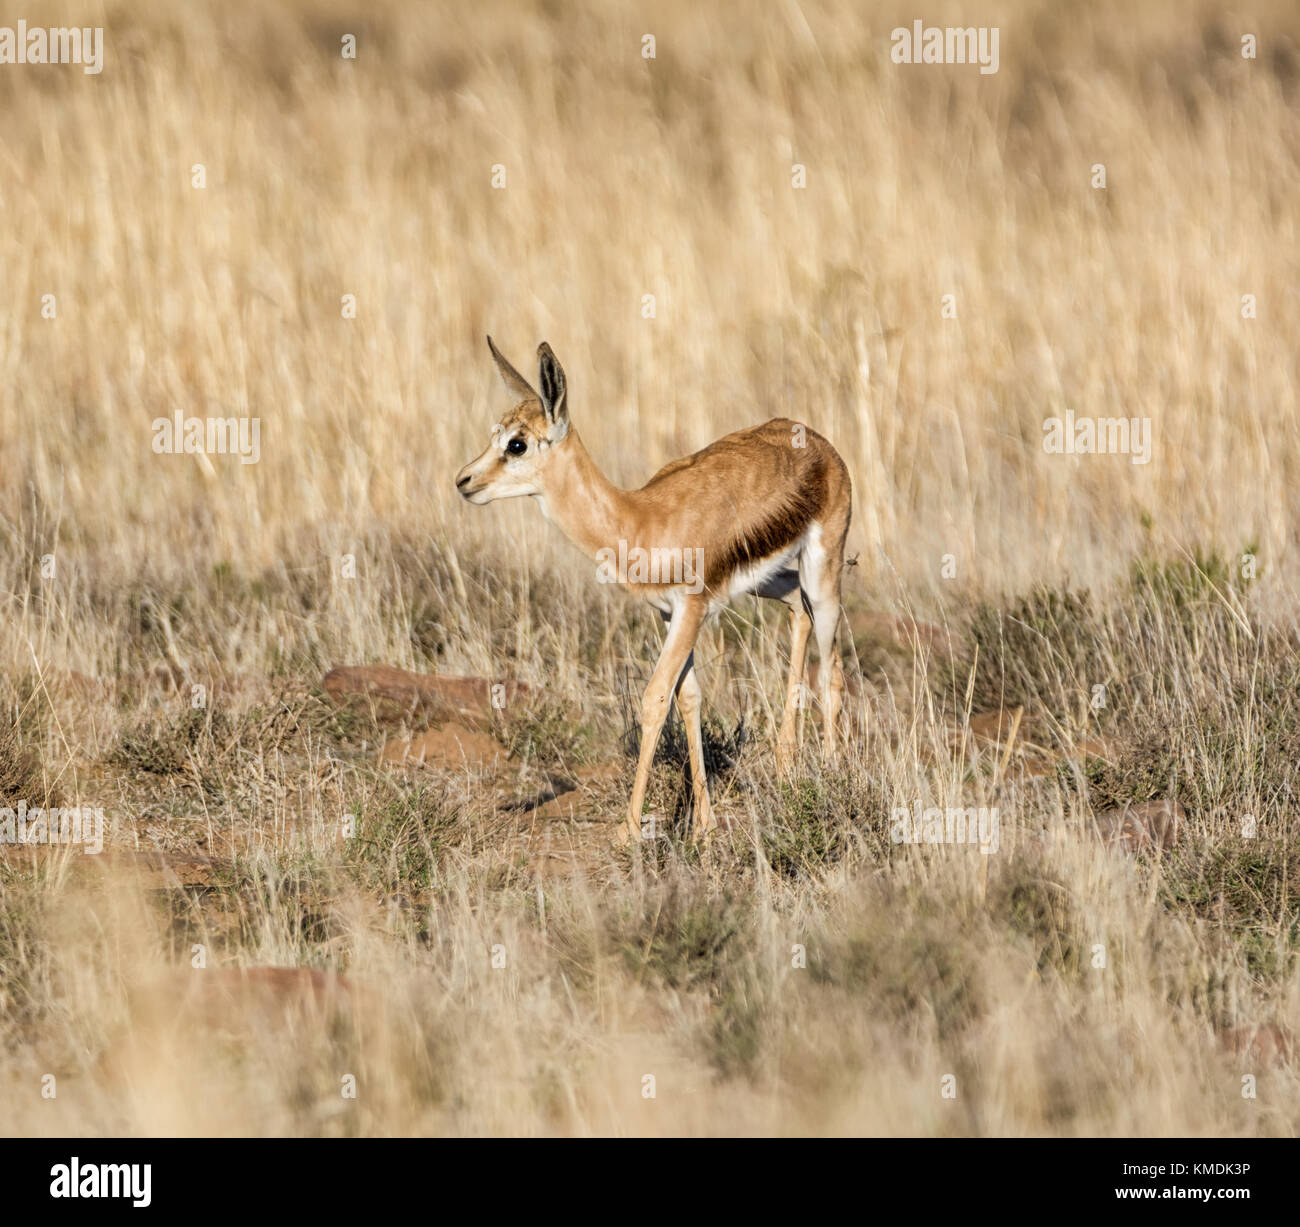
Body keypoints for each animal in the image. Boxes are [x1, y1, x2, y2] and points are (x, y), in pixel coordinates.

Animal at [455, 337, 852, 844]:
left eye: (517, 444)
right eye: (496, 435)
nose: (464, 481)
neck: (640, 519)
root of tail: (818, 442)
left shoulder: (692, 609)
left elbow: (655, 698)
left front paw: (628, 830)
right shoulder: (669, 613)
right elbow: (688, 699)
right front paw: (703, 825)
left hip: (824, 572)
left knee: (832, 669)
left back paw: (833, 778)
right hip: (772, 582)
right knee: (798, 611)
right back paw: (786, 767)